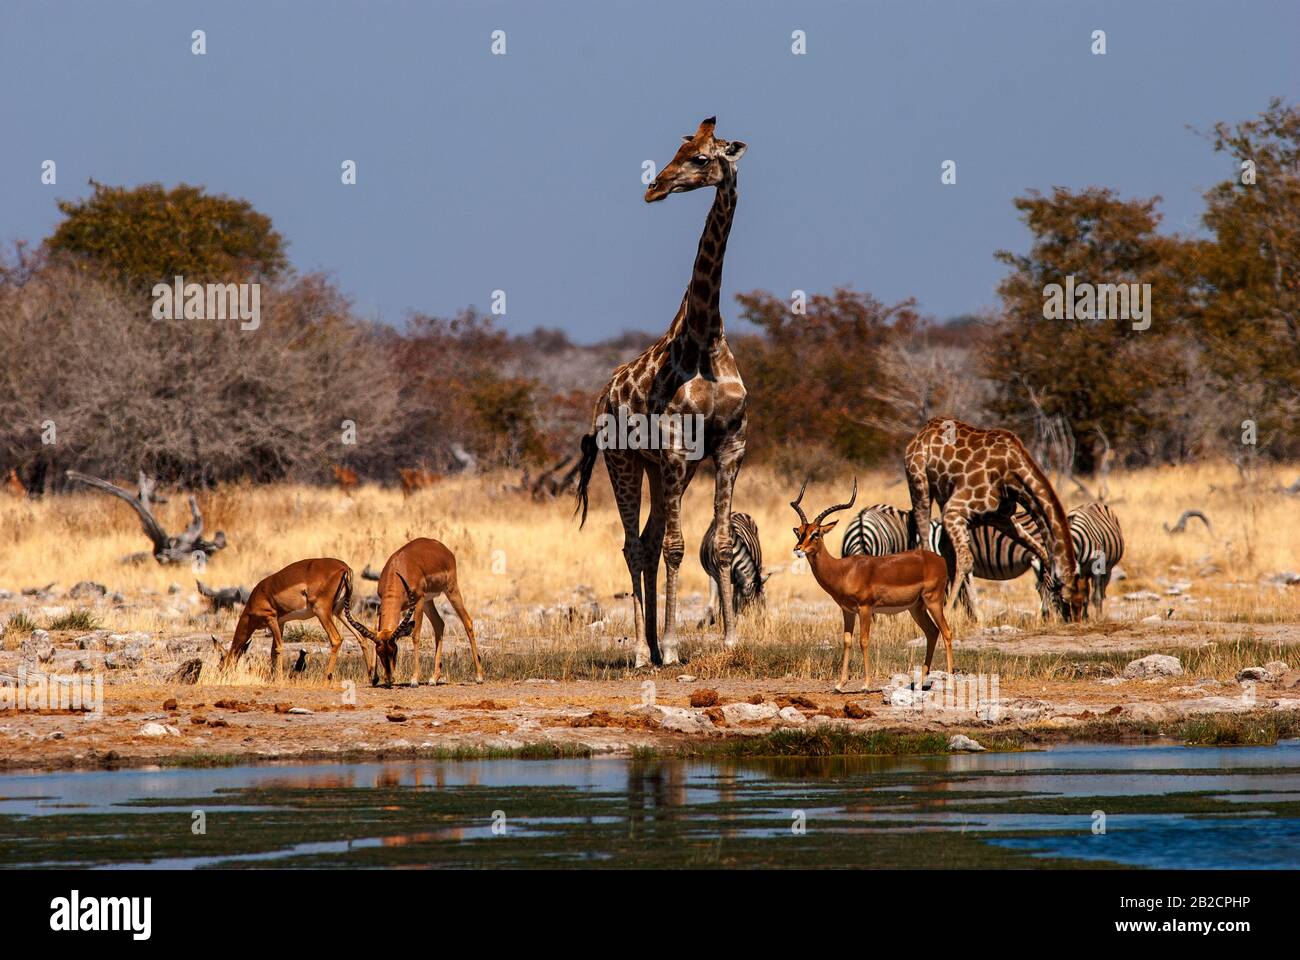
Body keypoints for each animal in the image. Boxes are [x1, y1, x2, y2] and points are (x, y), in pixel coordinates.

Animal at [213, 558, 409, 681]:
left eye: (221, 663)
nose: (221, 675)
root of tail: (345, 568)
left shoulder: (271, 618)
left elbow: (278, 648)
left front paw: (278, 679)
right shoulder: (281, 622)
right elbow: (273, 651)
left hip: (322, 612)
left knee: (336, 639)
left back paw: (326, 678)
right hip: (339, 612)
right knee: (361, 636)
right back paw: (371, 677)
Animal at [368, 538, 483, 687]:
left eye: (394, 651)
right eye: (380, 652)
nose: (389, 679)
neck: (398, 568)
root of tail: (444, 549)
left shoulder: (418, 600)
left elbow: (415, 635)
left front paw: (414, 679)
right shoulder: (382, 604)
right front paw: (374, 678)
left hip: (450, 590)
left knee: (467, 621)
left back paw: (479, 676)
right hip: (429, 601)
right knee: (439, 624)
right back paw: (434, 678)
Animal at [791, 480, 954, 693]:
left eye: (816, 533)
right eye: (800, 531)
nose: (798, 549)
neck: (843, 570)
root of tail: (940, 560)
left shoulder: (865, 608)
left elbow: (864, 641)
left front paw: (866, 685)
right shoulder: (847, 610)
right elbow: (847, 641)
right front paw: (839, 685)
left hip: (933, 601)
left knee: (947, 632)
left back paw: (950, 682)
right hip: (916, 608)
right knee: (932, 632)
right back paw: (919, 684)